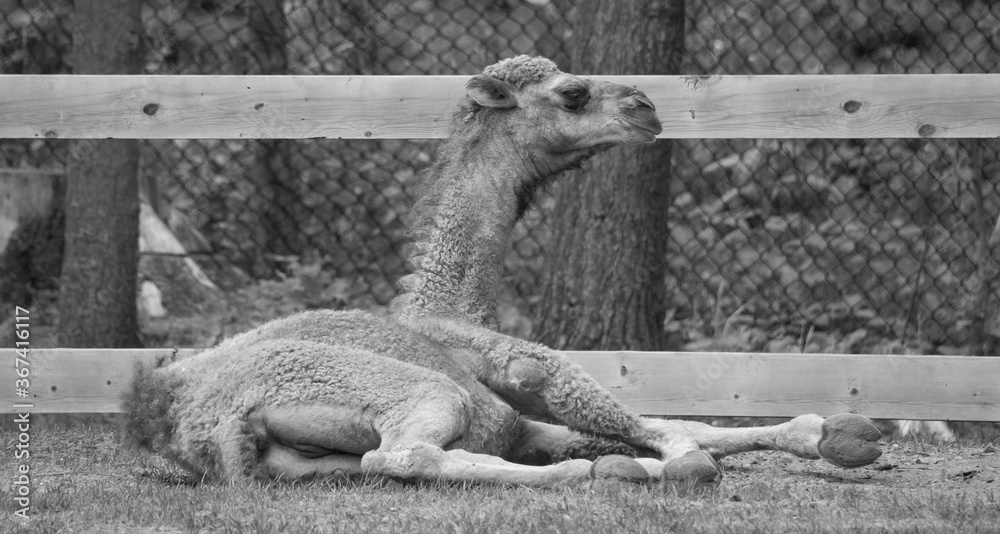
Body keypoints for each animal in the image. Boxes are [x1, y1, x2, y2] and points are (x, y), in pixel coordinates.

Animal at [123, 56, 882, 489]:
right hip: (419, 392)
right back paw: (609, 472)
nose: (647, 107)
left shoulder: (520, 423)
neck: (448, 308)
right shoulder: (529, 368)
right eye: (573, 93)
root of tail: (189, 421)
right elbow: (659, 424)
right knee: (402, 457)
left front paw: (837, 434)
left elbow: (680, 422)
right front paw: (688, 460)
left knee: (381, 464)